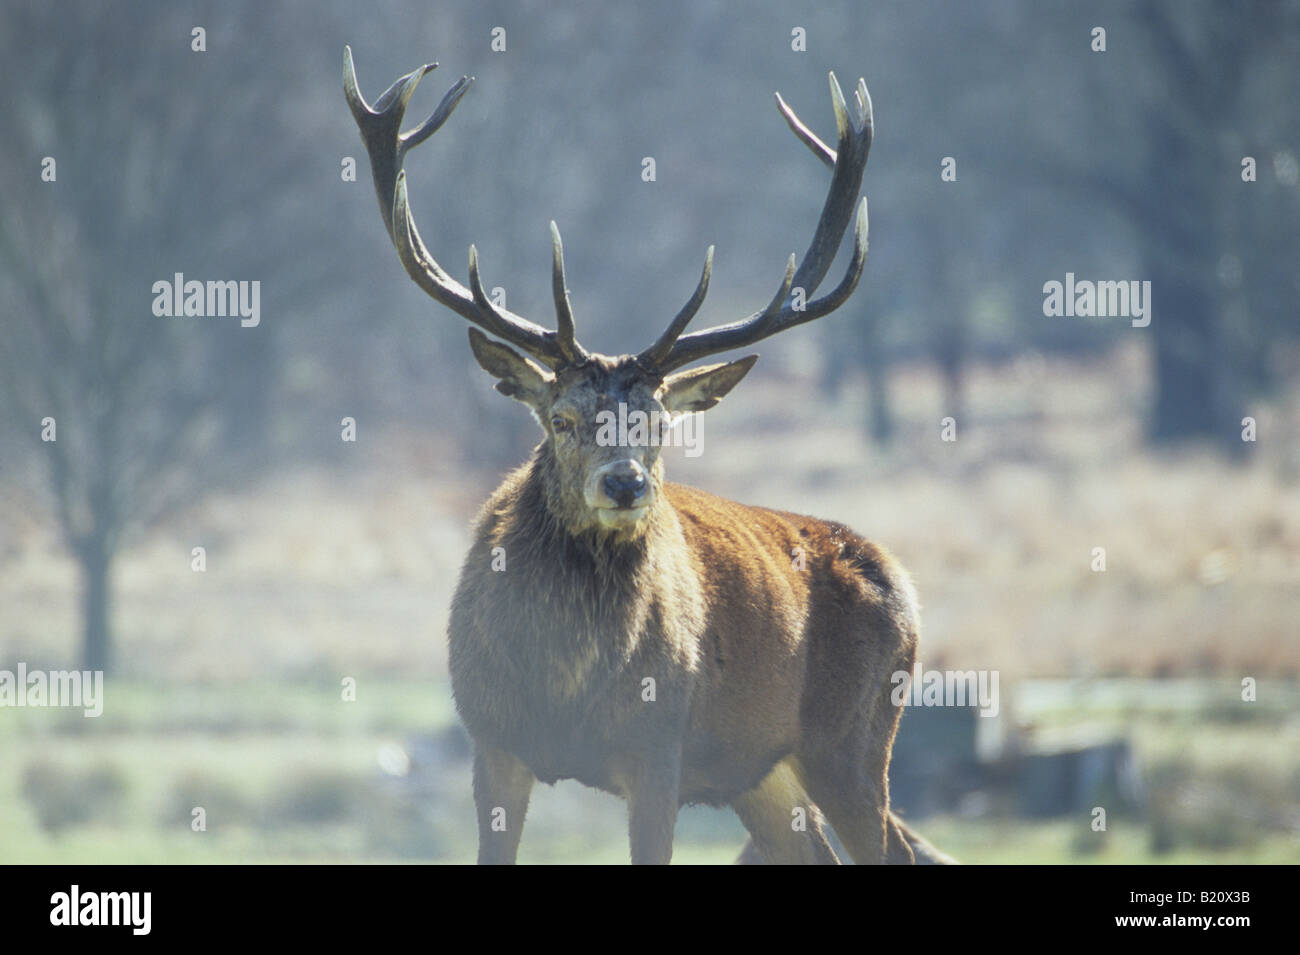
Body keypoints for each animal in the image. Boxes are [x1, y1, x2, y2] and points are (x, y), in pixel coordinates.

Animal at [344, 47, 949, 865]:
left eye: (660, 425)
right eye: (562, 418)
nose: (626, 484)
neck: (562, 691)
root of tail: (900, 578)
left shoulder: (660, 748)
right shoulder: (491, 741)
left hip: (855, 737)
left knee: (894, 847)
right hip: (764, 773)